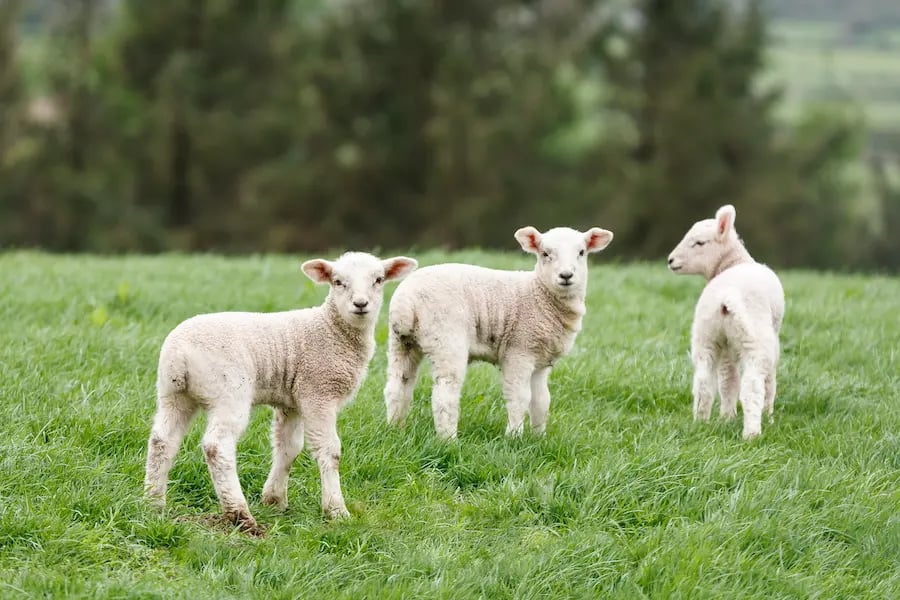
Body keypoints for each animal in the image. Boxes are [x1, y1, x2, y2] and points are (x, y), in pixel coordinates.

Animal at [144, 252, 417, 534]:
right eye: (338, 282)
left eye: (379, 280)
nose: (360, 304)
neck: (331, 329)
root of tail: (180, 354)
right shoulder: (318, 391)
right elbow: (330, 450)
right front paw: (336, 510)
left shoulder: (292, 400)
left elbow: (288, 447)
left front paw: (274, 500)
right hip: (228, 392)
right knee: (216, 446)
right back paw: (240, 515)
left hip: (173, 393)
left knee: (162, 441)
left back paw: (153, 503)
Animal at [384, 226, 614, 439]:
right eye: (545, 253)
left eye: (582, 252)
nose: (566, 276)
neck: (539, 294)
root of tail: (406, 302)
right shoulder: (519, 350)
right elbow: (520, 397)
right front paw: (514, 437)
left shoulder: (541, 360)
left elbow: (541, 400)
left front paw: (539, 438)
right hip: (446, 340)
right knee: (445, 394)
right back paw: (449, 440)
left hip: (401, 342)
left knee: (397, 387)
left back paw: (395, 429)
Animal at [667, 205, 785, 440]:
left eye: (699, 242)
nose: (670, 260)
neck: (734, 263)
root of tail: (727, 297)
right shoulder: (773, 338)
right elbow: (770, 381)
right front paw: (769, 416)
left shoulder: (725, 344)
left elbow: (726, 378)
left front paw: (726, 417)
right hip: (755, 339)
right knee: (752, 385)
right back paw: (752, 433)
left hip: (707, 335)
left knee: (706, 381)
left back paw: (703, 422)